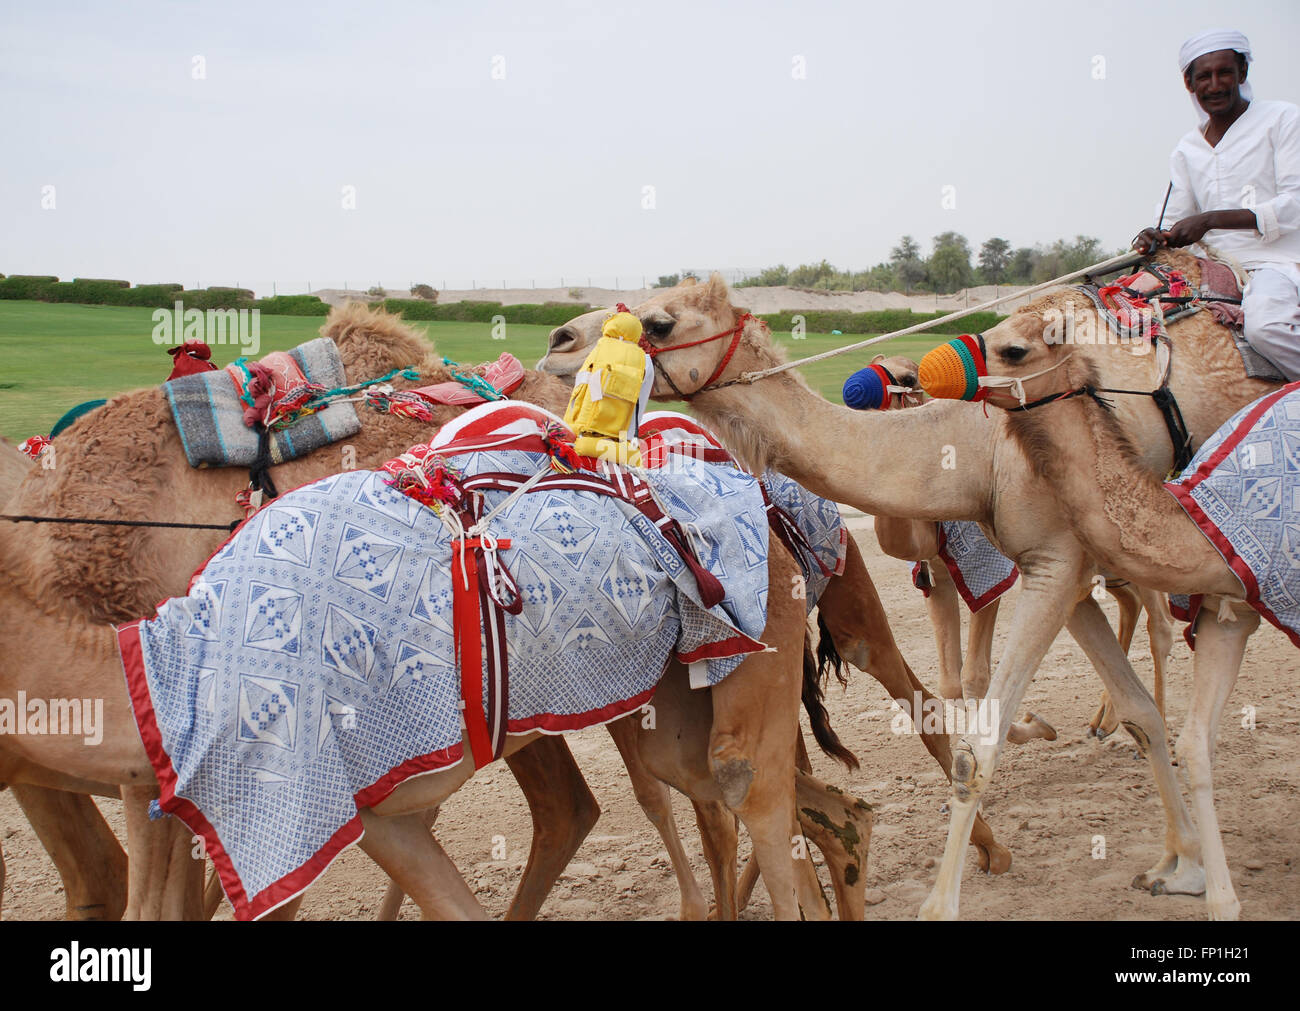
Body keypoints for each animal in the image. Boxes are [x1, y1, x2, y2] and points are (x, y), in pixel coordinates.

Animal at [539, 274, 1211, 919]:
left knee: (1160, 619)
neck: (973, 456)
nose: (559, 341)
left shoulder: (1048, 562)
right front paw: (1175, 857)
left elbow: (975, 708)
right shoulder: (1035, 566)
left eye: (659, 322)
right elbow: (976, 687)